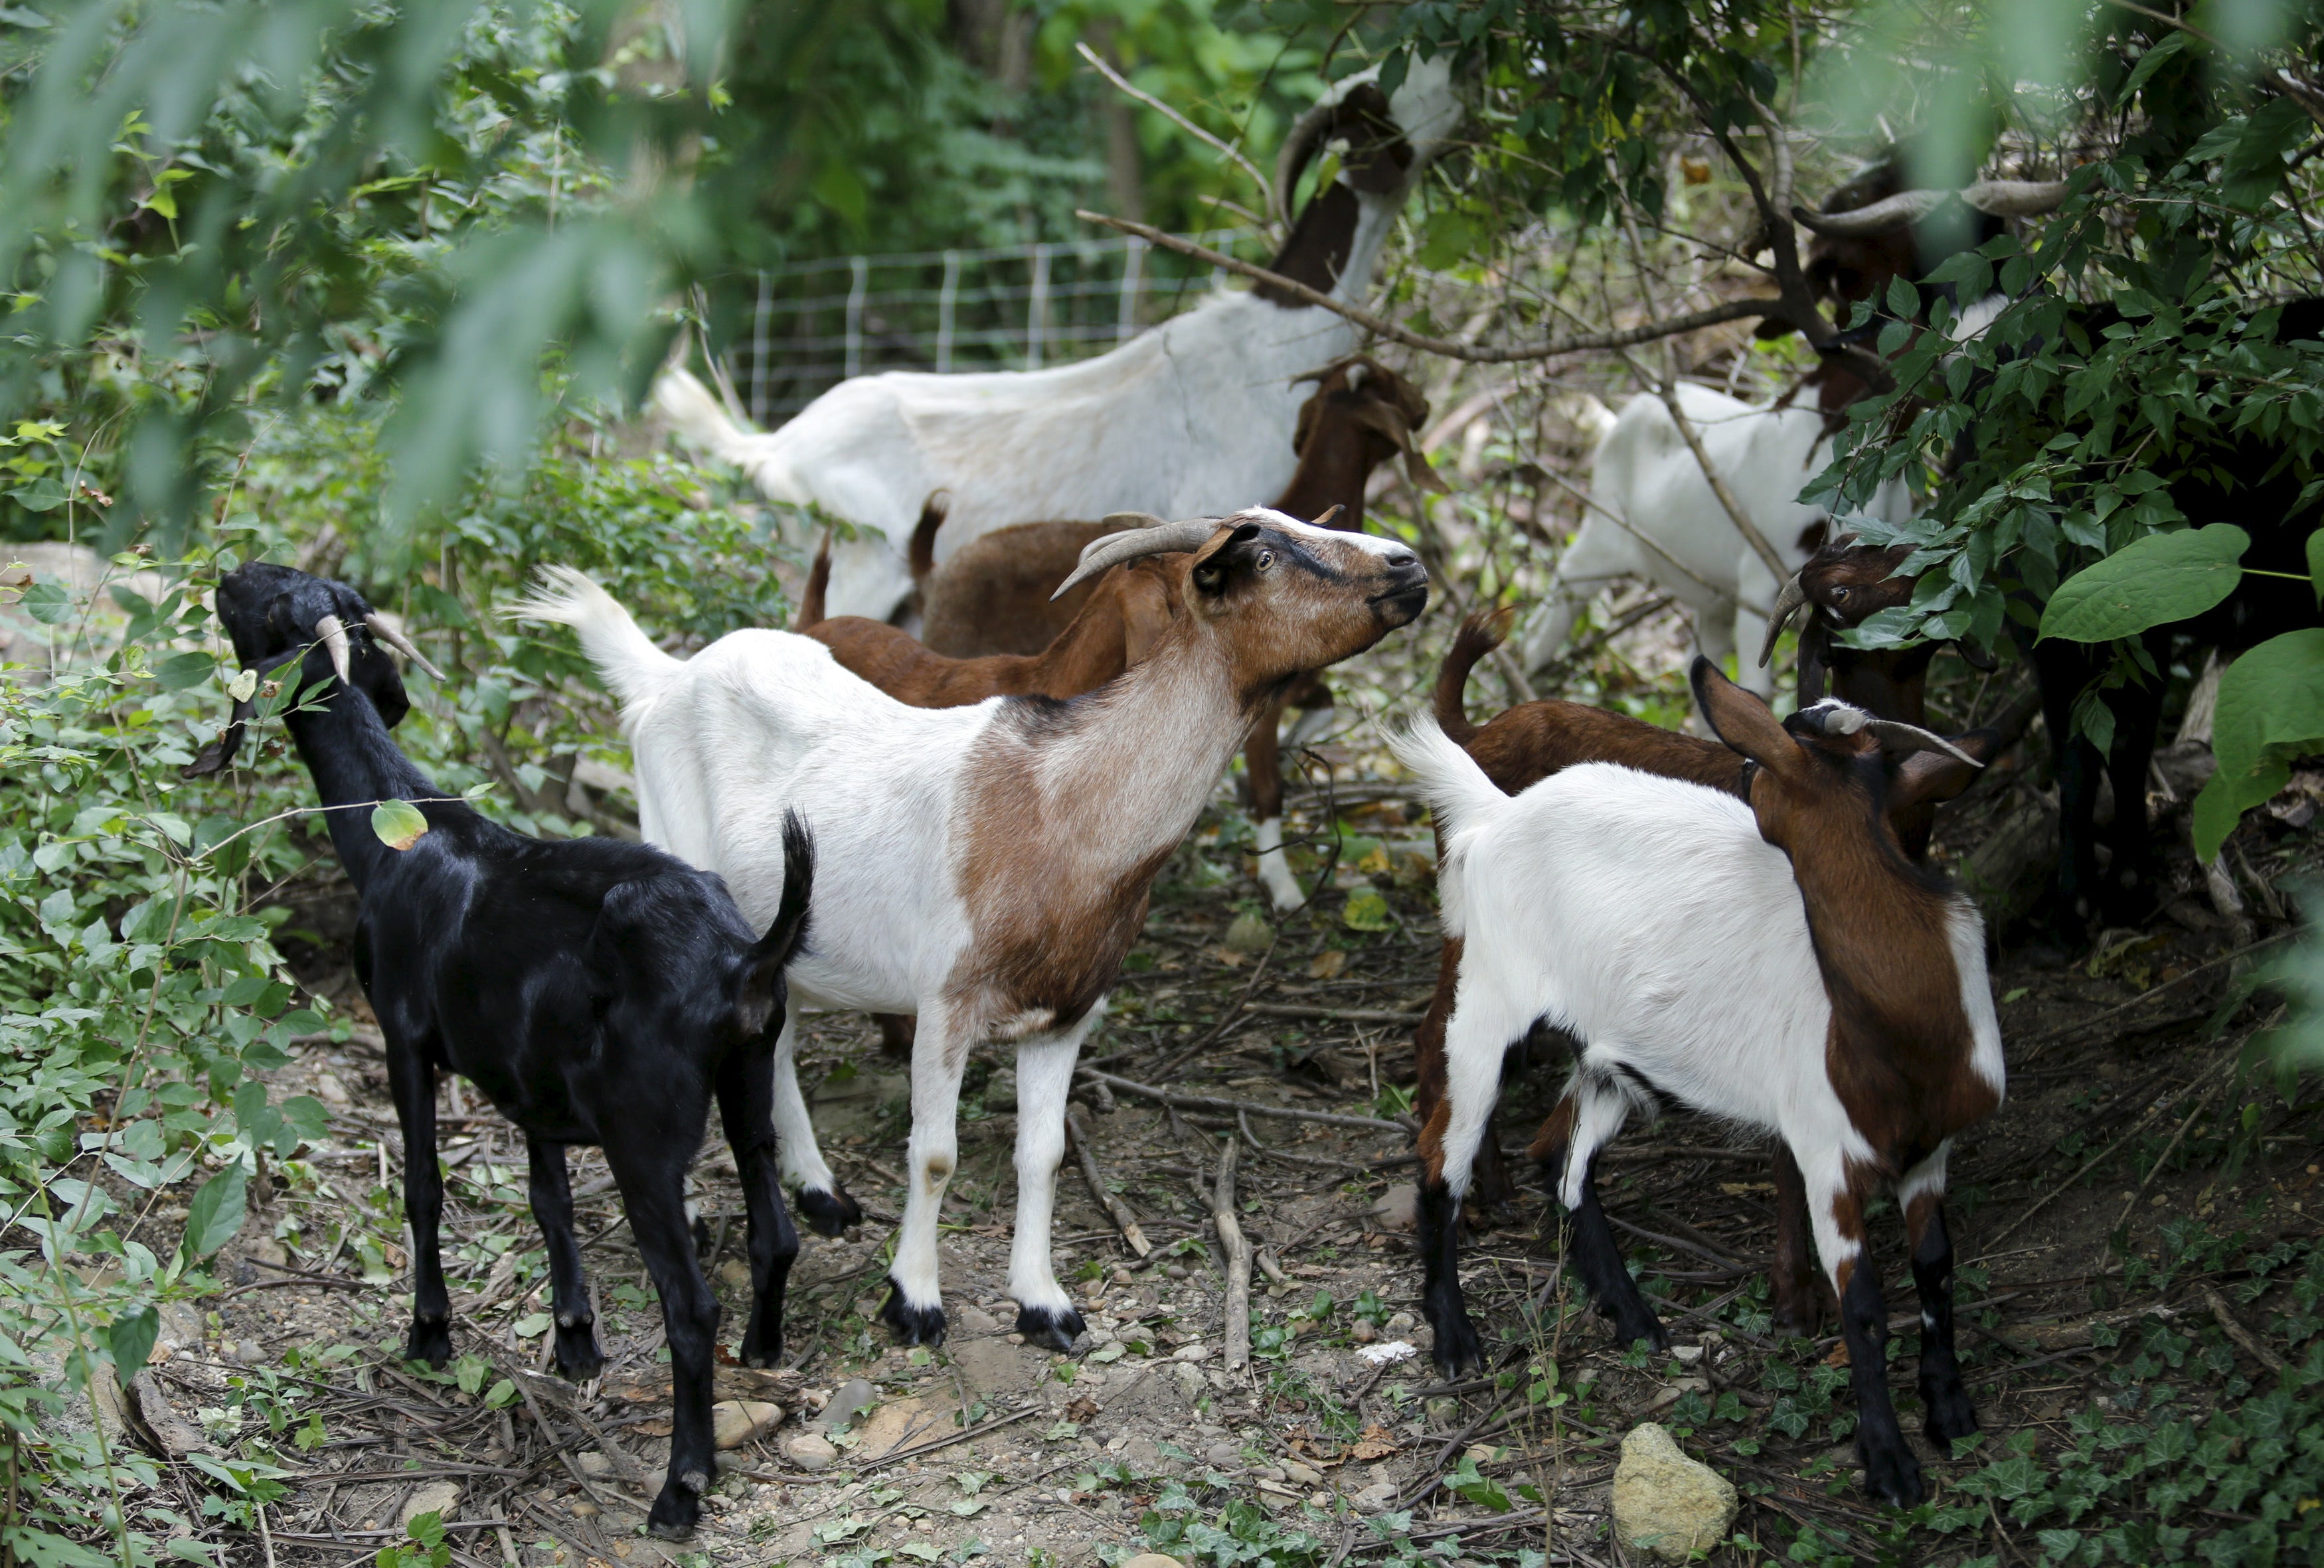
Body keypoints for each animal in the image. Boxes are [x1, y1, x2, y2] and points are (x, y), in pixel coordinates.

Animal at [186, 564, 812, 1541]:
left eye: (263, 605)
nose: (226, 572)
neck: (398, 834)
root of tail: (740, 957)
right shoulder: (531, 1078)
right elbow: (547, 1199)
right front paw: (575, 1338)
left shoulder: (402, 1036)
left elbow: (423, 1187)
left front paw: (430, 1333)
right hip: (750, 1079)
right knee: (775, 1231)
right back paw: (764, 1349)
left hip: (644, 1136)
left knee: (689, 1305)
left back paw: (682, 1486)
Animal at [515, 512, 1426, 1349]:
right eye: (1261, 556)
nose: (1407, 563)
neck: (1062, 808)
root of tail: (666, 676)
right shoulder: (944, 1003)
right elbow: (934, 1153)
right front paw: (914, 1299)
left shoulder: (1066, 1013)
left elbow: (1043, 1153)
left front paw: (1043, 1302)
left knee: (775, 1043)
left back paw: (821, 1193)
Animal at [1391, 661, 2002, 1507]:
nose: (1739, 781)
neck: (1898, 1028)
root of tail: (1497, 810)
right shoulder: (1827, 1154)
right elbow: (1866, 1306)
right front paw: (1888, 1464)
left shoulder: (1930, 1149)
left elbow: (1936, 1269)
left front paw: (1949, 1410)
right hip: (1488, 1000)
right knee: (1438, 1152)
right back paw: (1454, 1338)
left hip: (1608, 1053)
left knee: (1562, 1160)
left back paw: (1633, 1318)